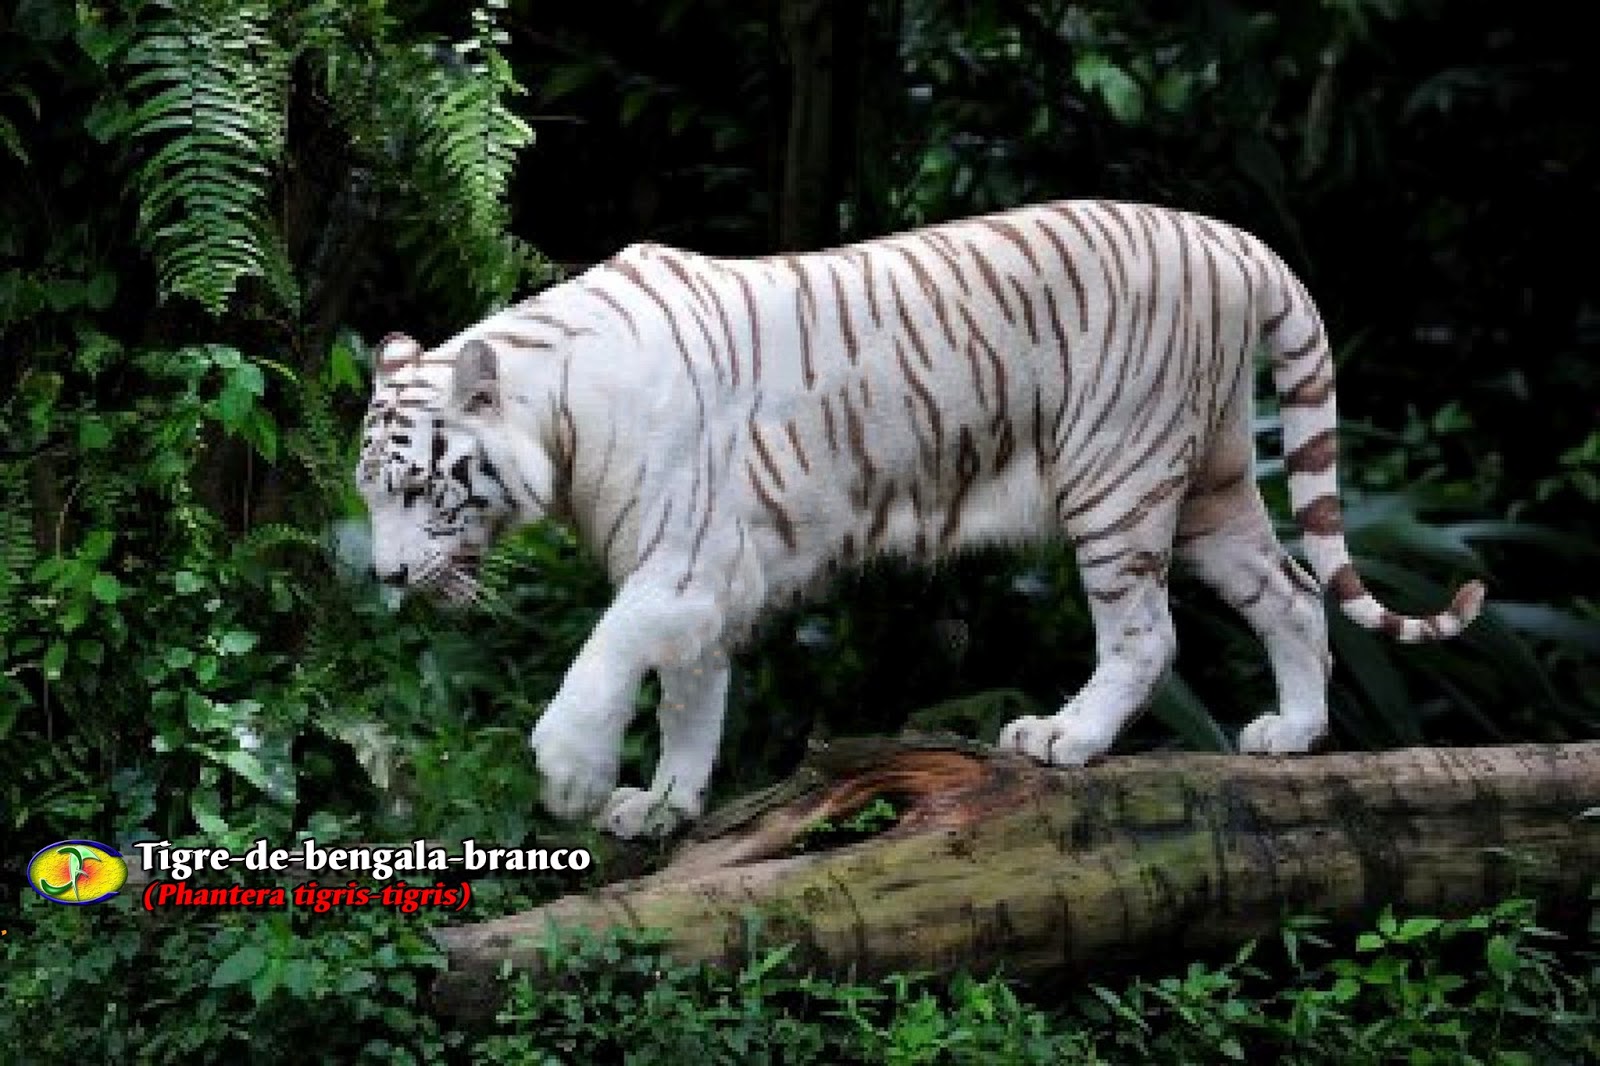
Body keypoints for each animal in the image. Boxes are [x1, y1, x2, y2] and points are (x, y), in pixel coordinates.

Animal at [356, 199, 1485, 839]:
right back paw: (1292, 733)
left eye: (416, 491)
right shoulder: (706, 583)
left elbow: (602, 659)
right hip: (1209, 483)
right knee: (1291, 592)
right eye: (368, 497)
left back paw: (1063, 736)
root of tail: (1237, 239)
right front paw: (666, 804)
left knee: (1148, 633)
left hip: (1115, 475)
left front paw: (571, 780)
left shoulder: (681, 563)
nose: (385, 580)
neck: (562, 417)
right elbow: (689, 700)